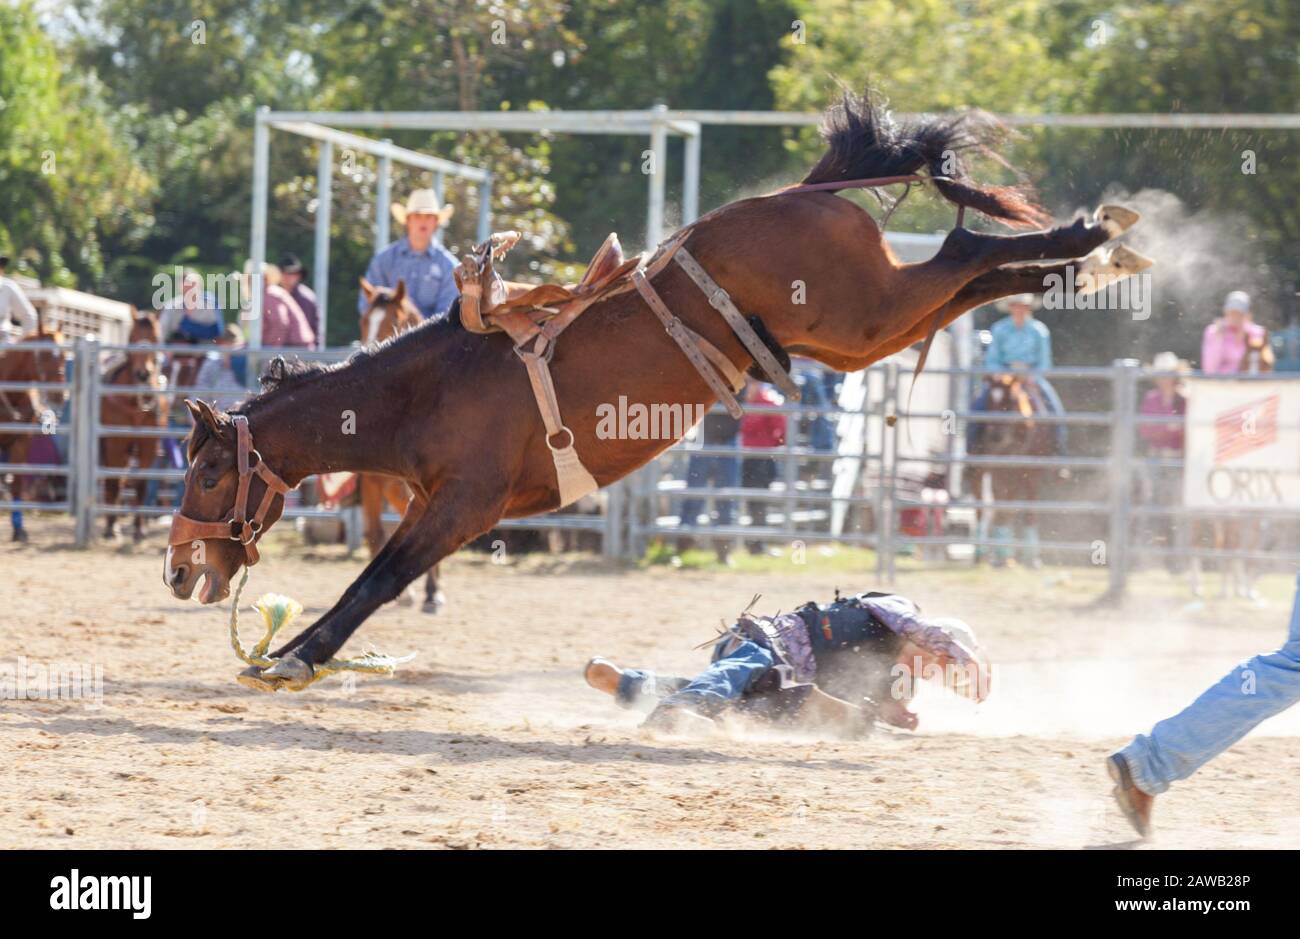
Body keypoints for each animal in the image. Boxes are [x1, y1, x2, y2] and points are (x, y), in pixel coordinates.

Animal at [0, 325, 67, 540]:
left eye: (65, 355)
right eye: (44, 355)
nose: (59, 395)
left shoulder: (21, 443)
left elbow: (17, 483)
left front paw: (19, 529)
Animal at [100, 311, 165, 541]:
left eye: (156, 337)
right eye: (132, 337)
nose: (143, 374)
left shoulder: (148, 445)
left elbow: (141, 484)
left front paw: (139, 528)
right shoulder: (115, 443)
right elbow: (114, 481)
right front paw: (111, 527)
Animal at [967, 373, 1055, 567]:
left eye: (1011, 400)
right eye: (989, 401)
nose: (995, 436)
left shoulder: (1027, 473)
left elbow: (1022, 510)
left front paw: (1028, 557)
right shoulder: (991, 470)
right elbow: (994, 508)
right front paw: (996, 555)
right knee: (987, 508)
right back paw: (987, 553)